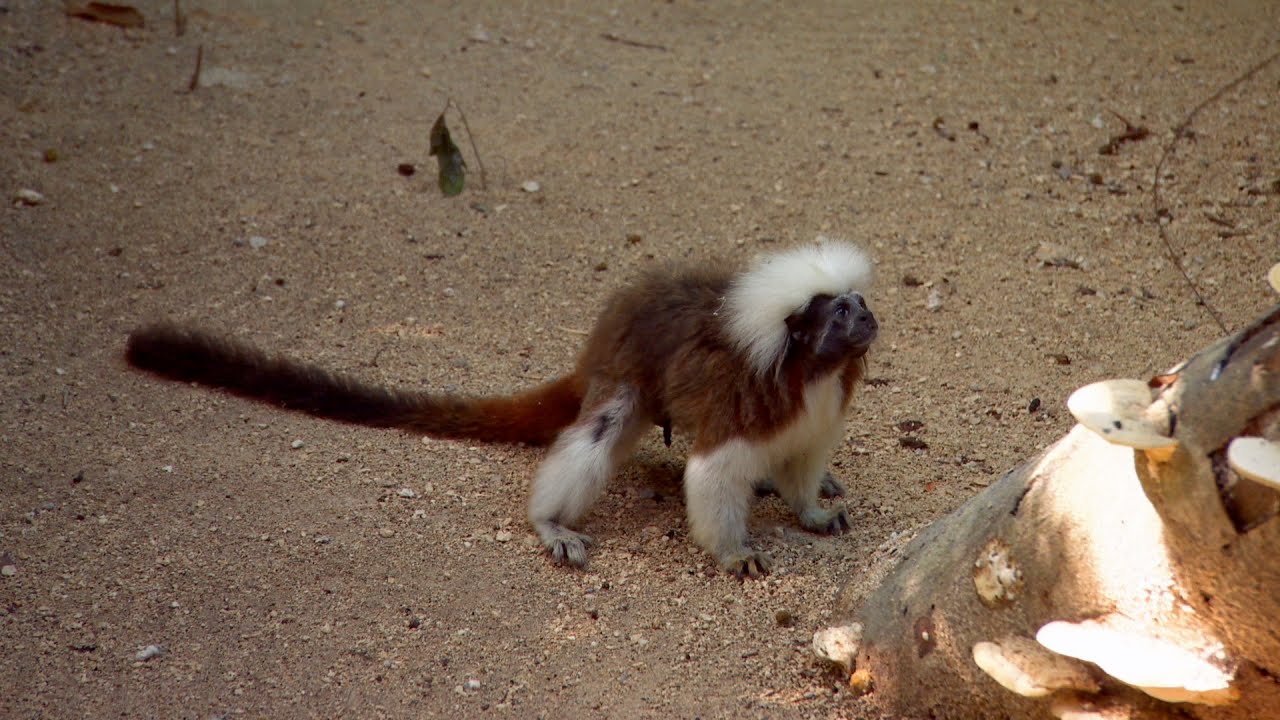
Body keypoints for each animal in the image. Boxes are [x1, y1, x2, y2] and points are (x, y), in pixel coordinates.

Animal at [125, 240, 878, 578]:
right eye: (840, 313)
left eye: (859, 304)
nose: (869, 316)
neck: (811, 370)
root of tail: (603, 335)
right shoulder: (745, 401)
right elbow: (712, 474)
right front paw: (735, 551)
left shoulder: (815, 409)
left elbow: (804, 459)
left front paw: (809, 508)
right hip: (624, 378)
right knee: (602, 429)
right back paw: (550, 522)